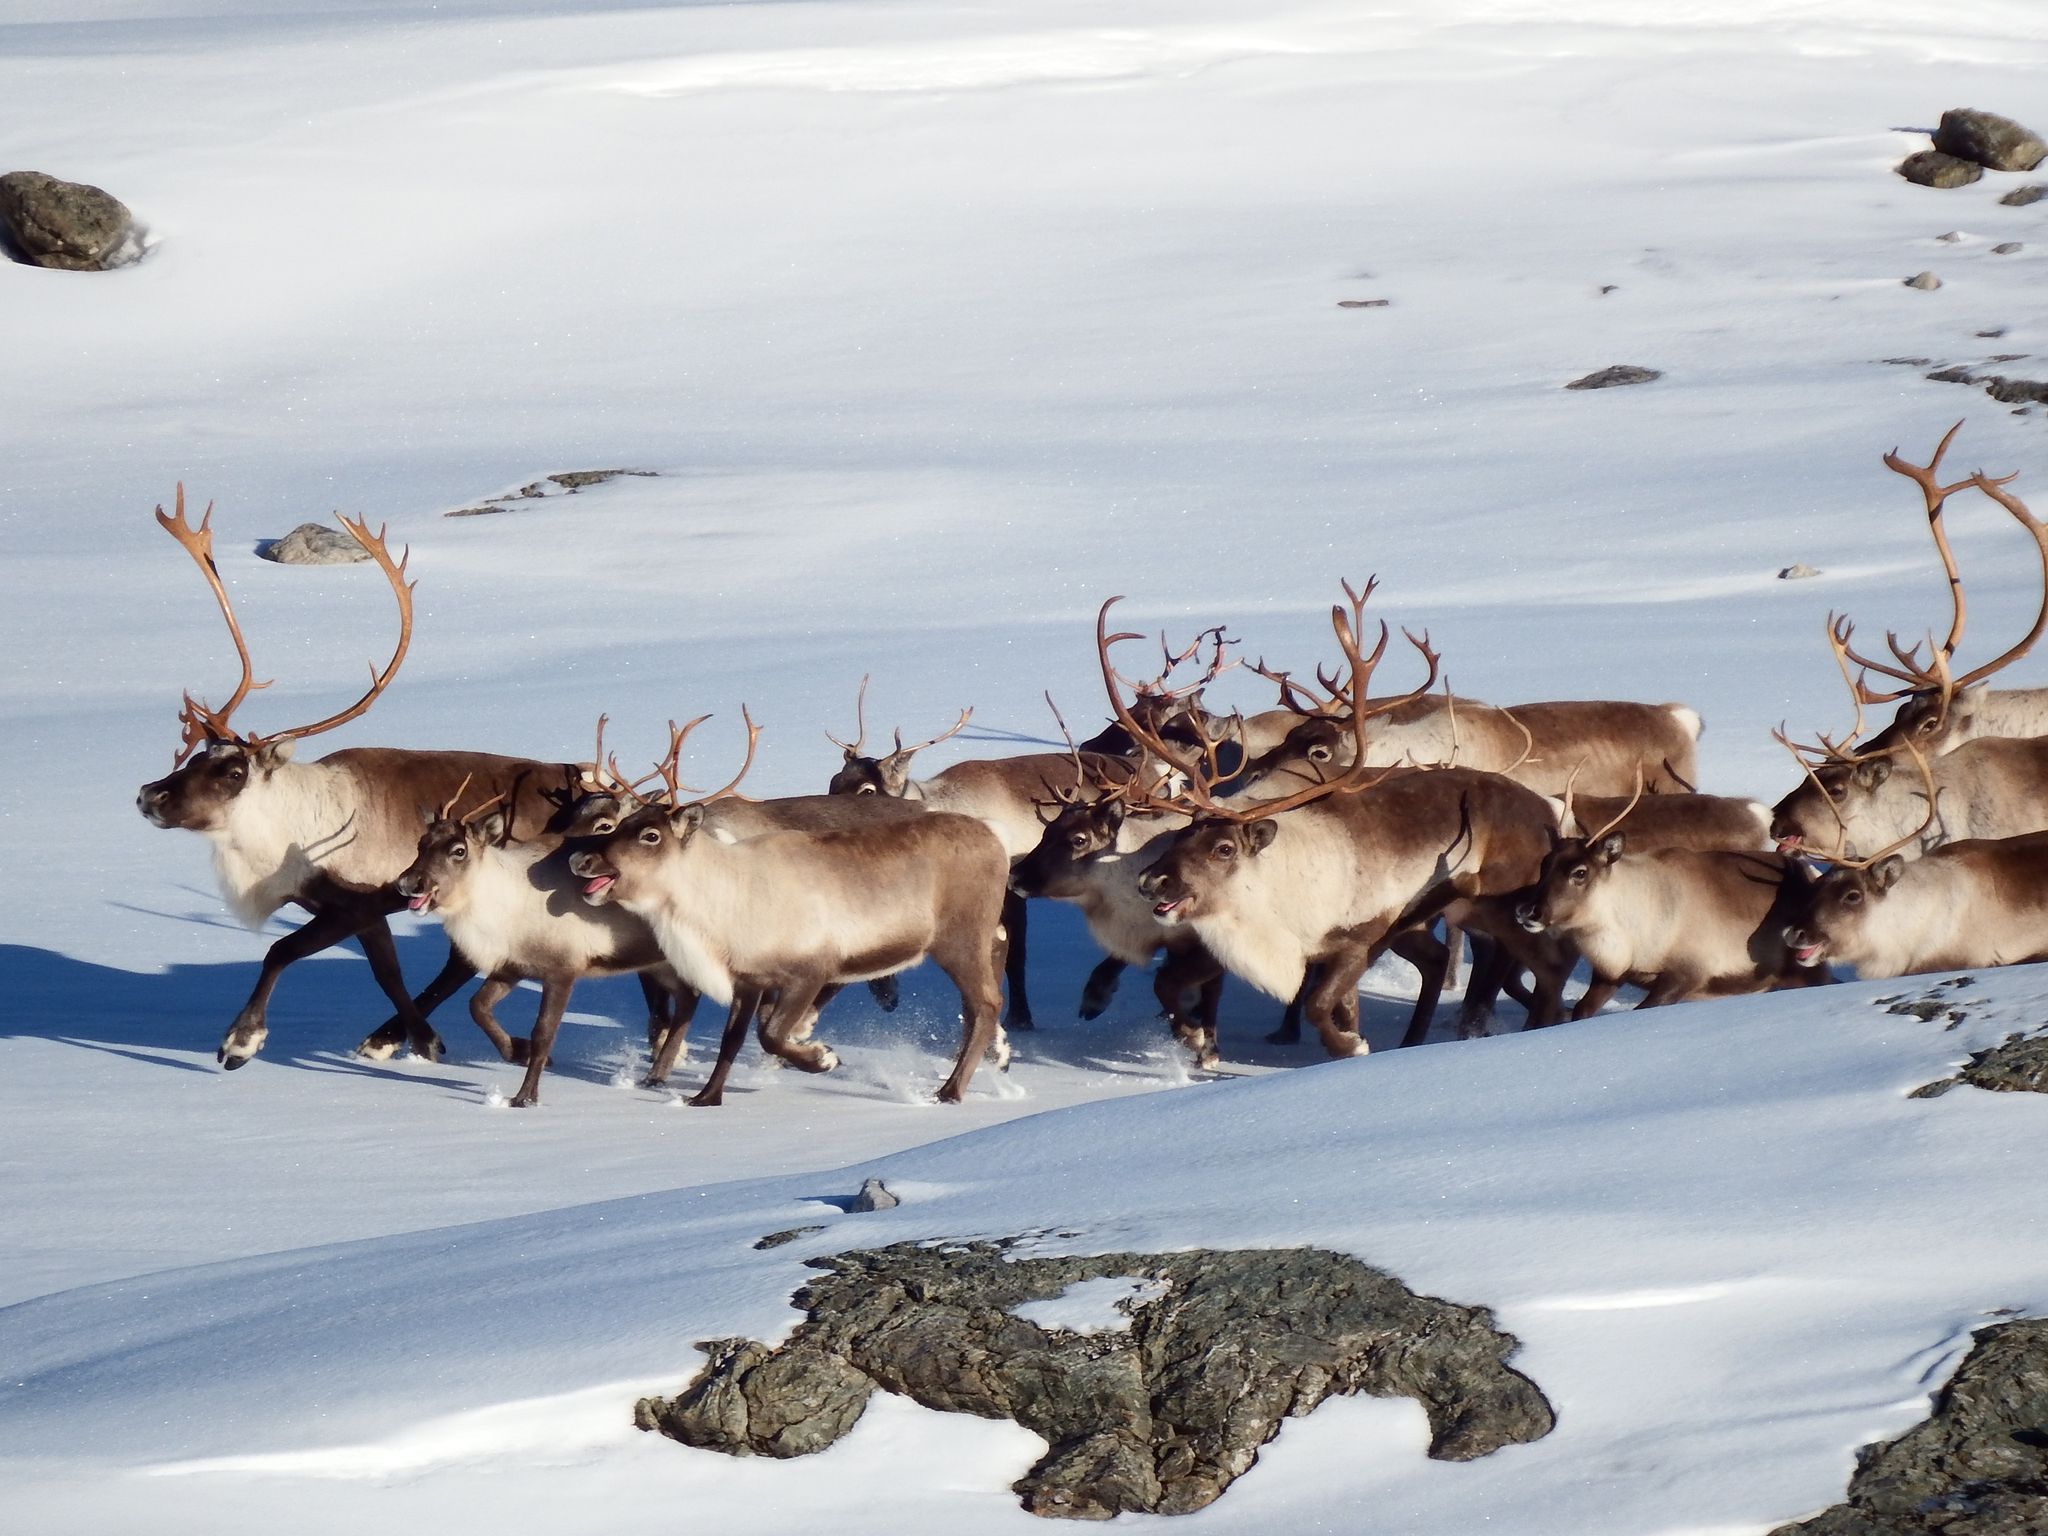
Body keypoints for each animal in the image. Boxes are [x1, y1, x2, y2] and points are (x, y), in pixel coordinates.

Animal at [134, 488, 597, 1070]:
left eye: (235, 771)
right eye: (196, 758)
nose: (148, 794)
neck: (289, 832)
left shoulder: (356, 903)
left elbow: (282, 951)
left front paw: (240, 1041)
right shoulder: (366, 911)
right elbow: (386, 972)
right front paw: (415, 1038)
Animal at [571, 712, 1014, 1106]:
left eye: (650, 835)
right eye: (622, 826)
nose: (581, 860)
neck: (720, 906)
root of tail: (994, 835)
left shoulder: (812, 967)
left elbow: (770, 1034)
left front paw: (822, 1057)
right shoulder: (749, 978)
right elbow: (734, 1039)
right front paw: (705, 1097)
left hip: (959, 938)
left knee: (986, 1002)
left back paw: (950, 1090)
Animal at [1110, 582, 1561, 1057]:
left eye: (1224, 848)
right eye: (1182, 834)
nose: (1150, 881)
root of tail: (1545, 810)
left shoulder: (1358, 939)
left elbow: (1318, 1003)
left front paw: (1350, 1045)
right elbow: (1168, 986)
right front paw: (1194, 1034)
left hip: (1495, 903)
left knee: (1513, 961)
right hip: (1426, 921)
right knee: (1440, 961)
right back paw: (1415, 1040)